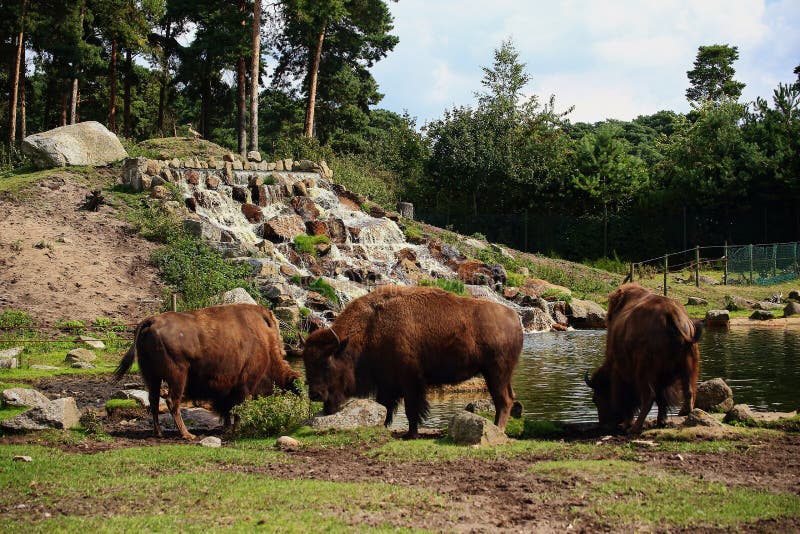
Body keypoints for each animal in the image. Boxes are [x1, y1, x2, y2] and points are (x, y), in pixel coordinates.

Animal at [115, 303, 301, 440]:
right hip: (178, 376)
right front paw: (236, 429)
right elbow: (237, 408)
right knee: (172, 401)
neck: (265, 343)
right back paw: (187, 435)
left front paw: (227, 428)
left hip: (151, 377)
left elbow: (228, 409)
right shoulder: (245, 386)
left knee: (153, 401)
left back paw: (159, 433)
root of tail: (151, 321)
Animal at [301, 285, 523, 438]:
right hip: (498, 374)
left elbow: (411, 409)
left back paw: (499, 428)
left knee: (503, 400)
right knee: (507, 398)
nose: (315, 394)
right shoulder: (386, 383)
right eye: (306, 364)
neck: (370, 329)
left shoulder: (410, 381)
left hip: (496, 372)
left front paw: (411, 434)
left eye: (326, 363)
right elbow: (385, 407)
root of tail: (514, 317)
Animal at [584, 283, 703, 435]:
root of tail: (671, 313)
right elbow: (662, 397)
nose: (604, 425)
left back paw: (634, 428)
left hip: (645, 371)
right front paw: (662, 421)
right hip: (688, 366)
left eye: (596, 398)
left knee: (649, 397)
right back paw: (684, 413)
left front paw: (627, 423)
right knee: (688, 390)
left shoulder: (620, 370)